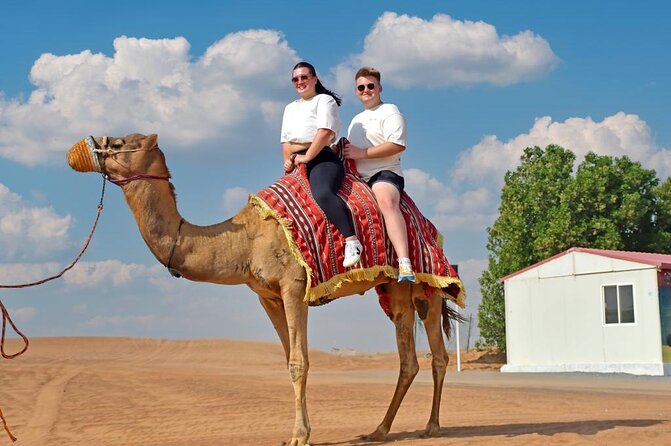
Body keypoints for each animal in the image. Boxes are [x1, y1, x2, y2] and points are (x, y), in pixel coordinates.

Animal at [67, 133, 463, 446]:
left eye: (119, 143)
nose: (81, 148)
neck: (245, 240)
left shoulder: (293, 286)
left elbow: (299, 362)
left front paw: (299, 437)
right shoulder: (267, 297)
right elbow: (289, 360)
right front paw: (301, 432)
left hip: (423, 281)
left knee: (435, 354)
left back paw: (430, 427)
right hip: (395, 291)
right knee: (411, 359)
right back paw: (379, 431)